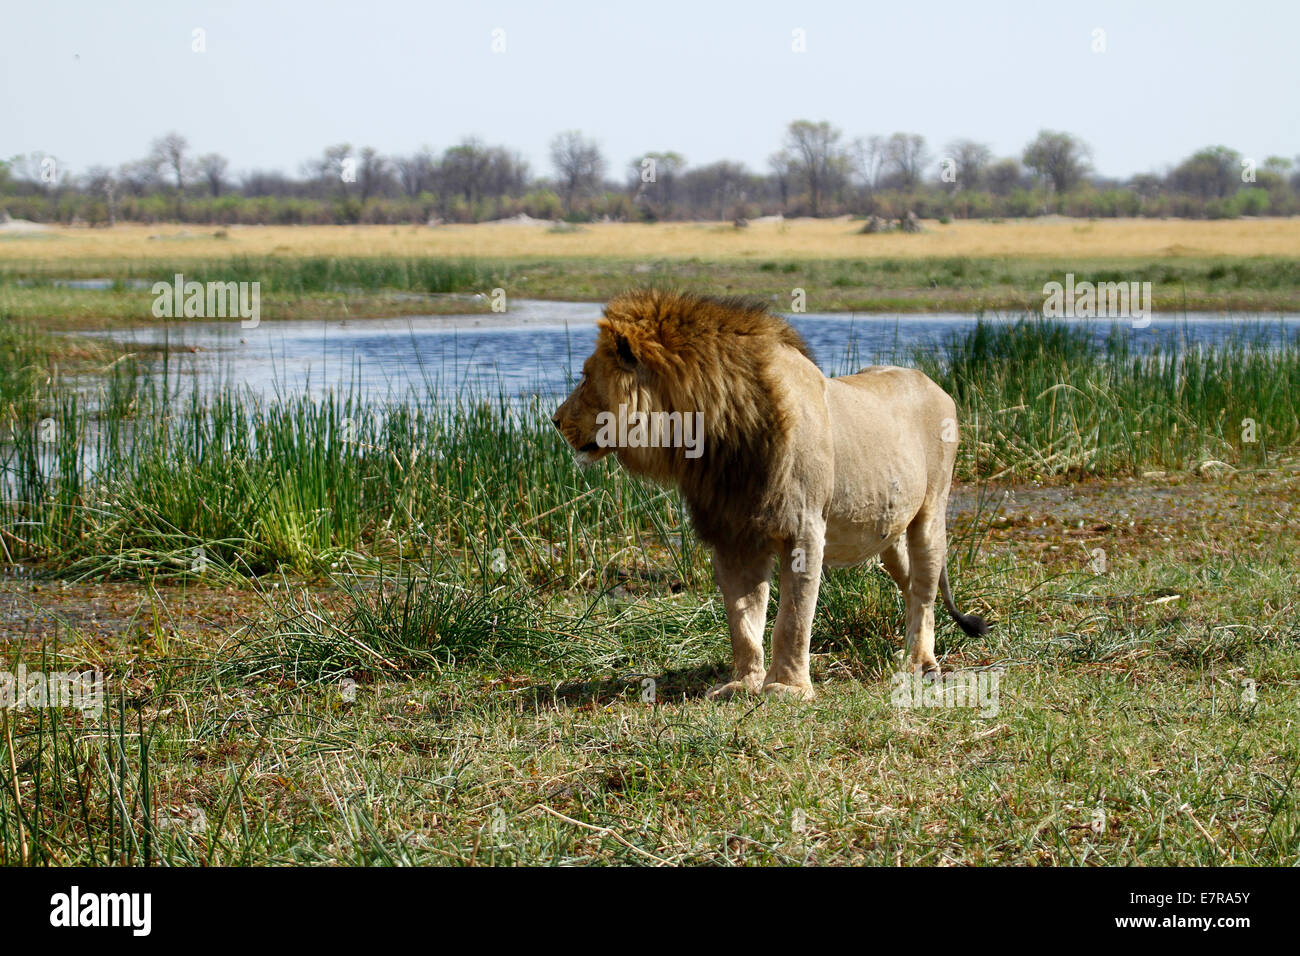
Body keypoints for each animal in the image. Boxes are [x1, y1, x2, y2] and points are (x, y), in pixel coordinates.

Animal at [551, 290, 987, 700]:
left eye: (585, 376)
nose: (554, 421)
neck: (714, 434)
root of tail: (933, 383)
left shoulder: (805, 529)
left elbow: (792, 619)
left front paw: (786, 688)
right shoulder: (732, 535)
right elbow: (743, 619)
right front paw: (744, 684)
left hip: (931, 513)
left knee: (925, 590)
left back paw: (920, 662)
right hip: (888, 532)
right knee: (910, 585)